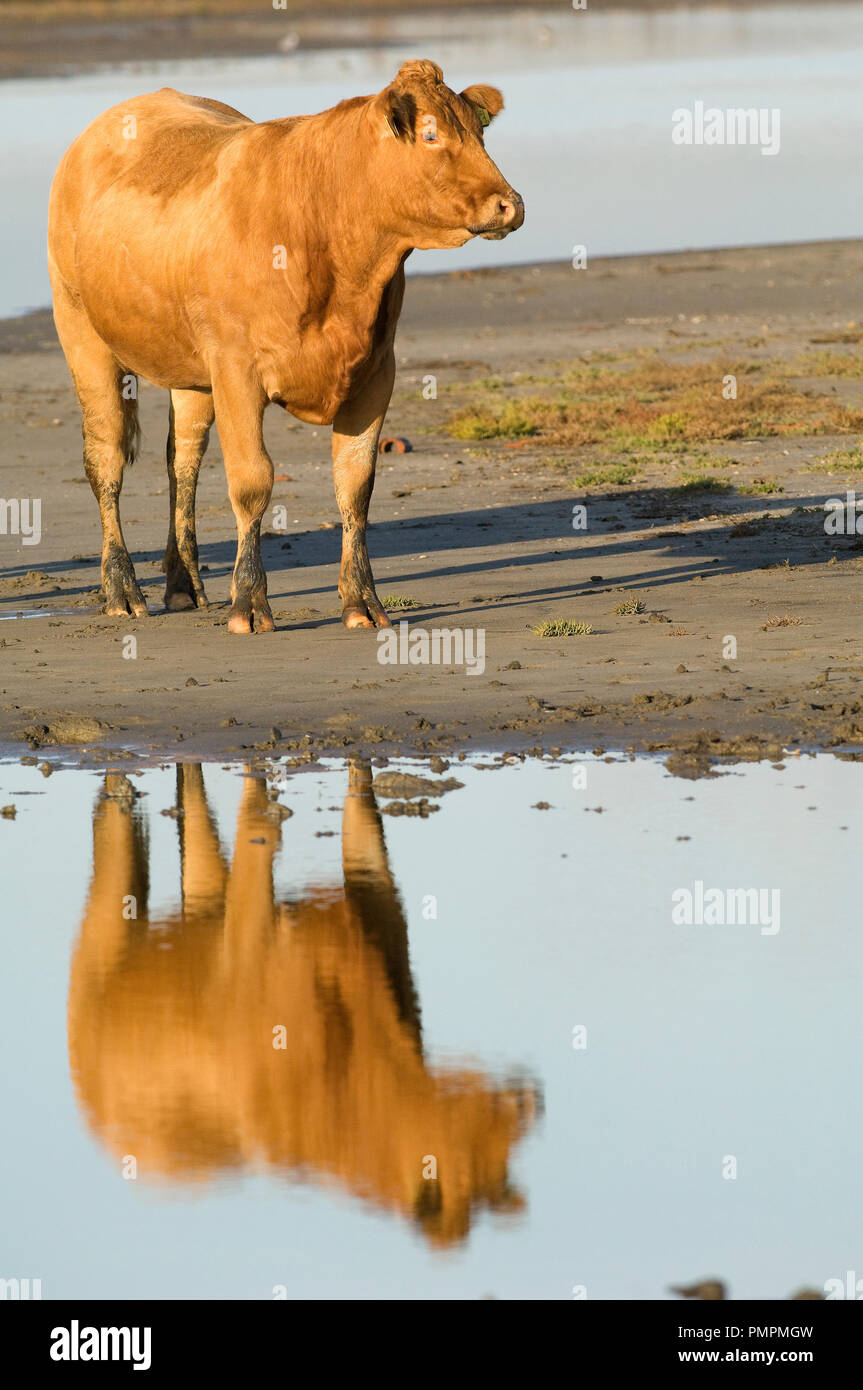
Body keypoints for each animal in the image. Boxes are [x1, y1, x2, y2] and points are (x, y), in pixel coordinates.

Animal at [47, 60, 524, 635]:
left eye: (479, 132)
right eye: (431, 135)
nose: (510, 205)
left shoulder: (376, 372)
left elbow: (354, 486)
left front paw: (362, 600)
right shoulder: (237, 370)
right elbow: (253, 481)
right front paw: (249, 602)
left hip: (191, 371)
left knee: (182, 460)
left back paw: (184, 584)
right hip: (83, 334)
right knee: (107, 459)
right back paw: (121, 588)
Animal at [68, 761, 537, 1245]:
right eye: (481, 1147)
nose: (531, 1103)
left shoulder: (372, 899)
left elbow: (361, 808)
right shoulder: (250, 940)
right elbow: (260, 823)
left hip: (204, 899)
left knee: (193, 808)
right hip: (109, 918)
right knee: (115, 836)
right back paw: (121, 789)